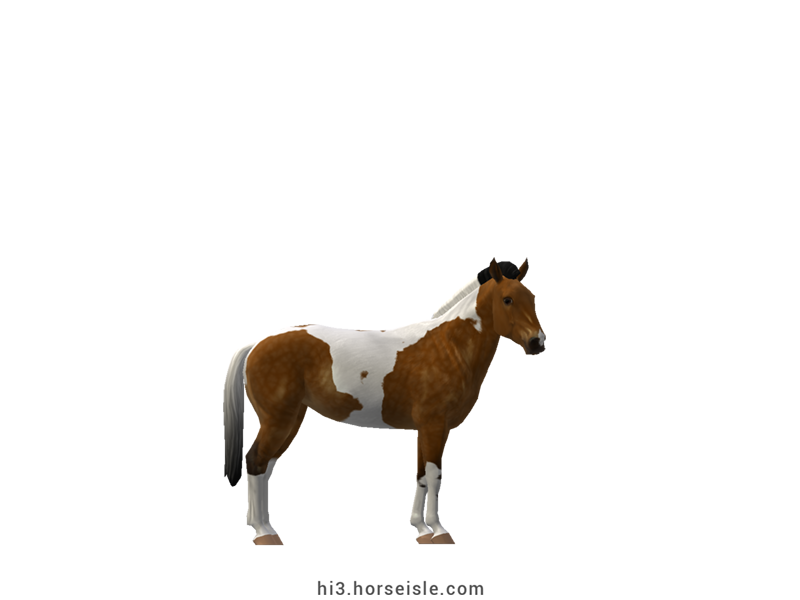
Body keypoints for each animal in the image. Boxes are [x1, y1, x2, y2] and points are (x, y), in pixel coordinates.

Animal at [223, 258, 545, 539]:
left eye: (530, 297)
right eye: (507, 300)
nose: (537, 341)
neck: (450, 347)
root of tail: (255, 346)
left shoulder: (426, 426)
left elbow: (421, 475)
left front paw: (419, 527)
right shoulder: (434, 423)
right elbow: (434, 472)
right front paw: (436, 527)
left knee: (259, 464)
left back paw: (259, 526)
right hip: (278, 420)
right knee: (255, 462)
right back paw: (261, 530)